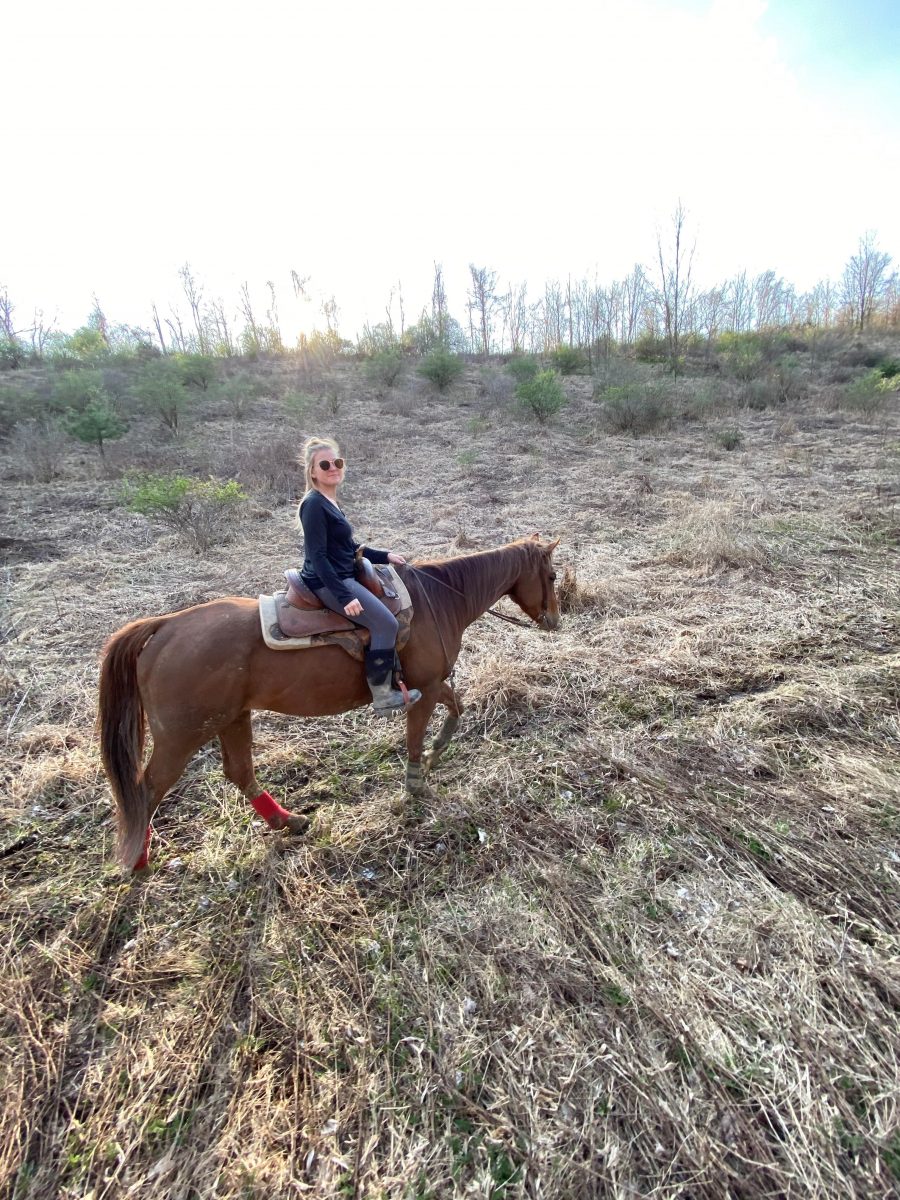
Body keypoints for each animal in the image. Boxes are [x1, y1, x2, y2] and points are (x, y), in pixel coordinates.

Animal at [98, 535, 561, 871]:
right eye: (554, 576)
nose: (556, 620)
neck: (440, 599)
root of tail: (163, 627)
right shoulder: (424, 689)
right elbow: (417, 736)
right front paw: (417, 783)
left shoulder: (428, 686)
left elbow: (456, 711)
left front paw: (433, 756)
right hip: (182, 736)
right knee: (147, 790)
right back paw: (138, 862)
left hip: (232, 718)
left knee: (239, 772)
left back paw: (289, 822)